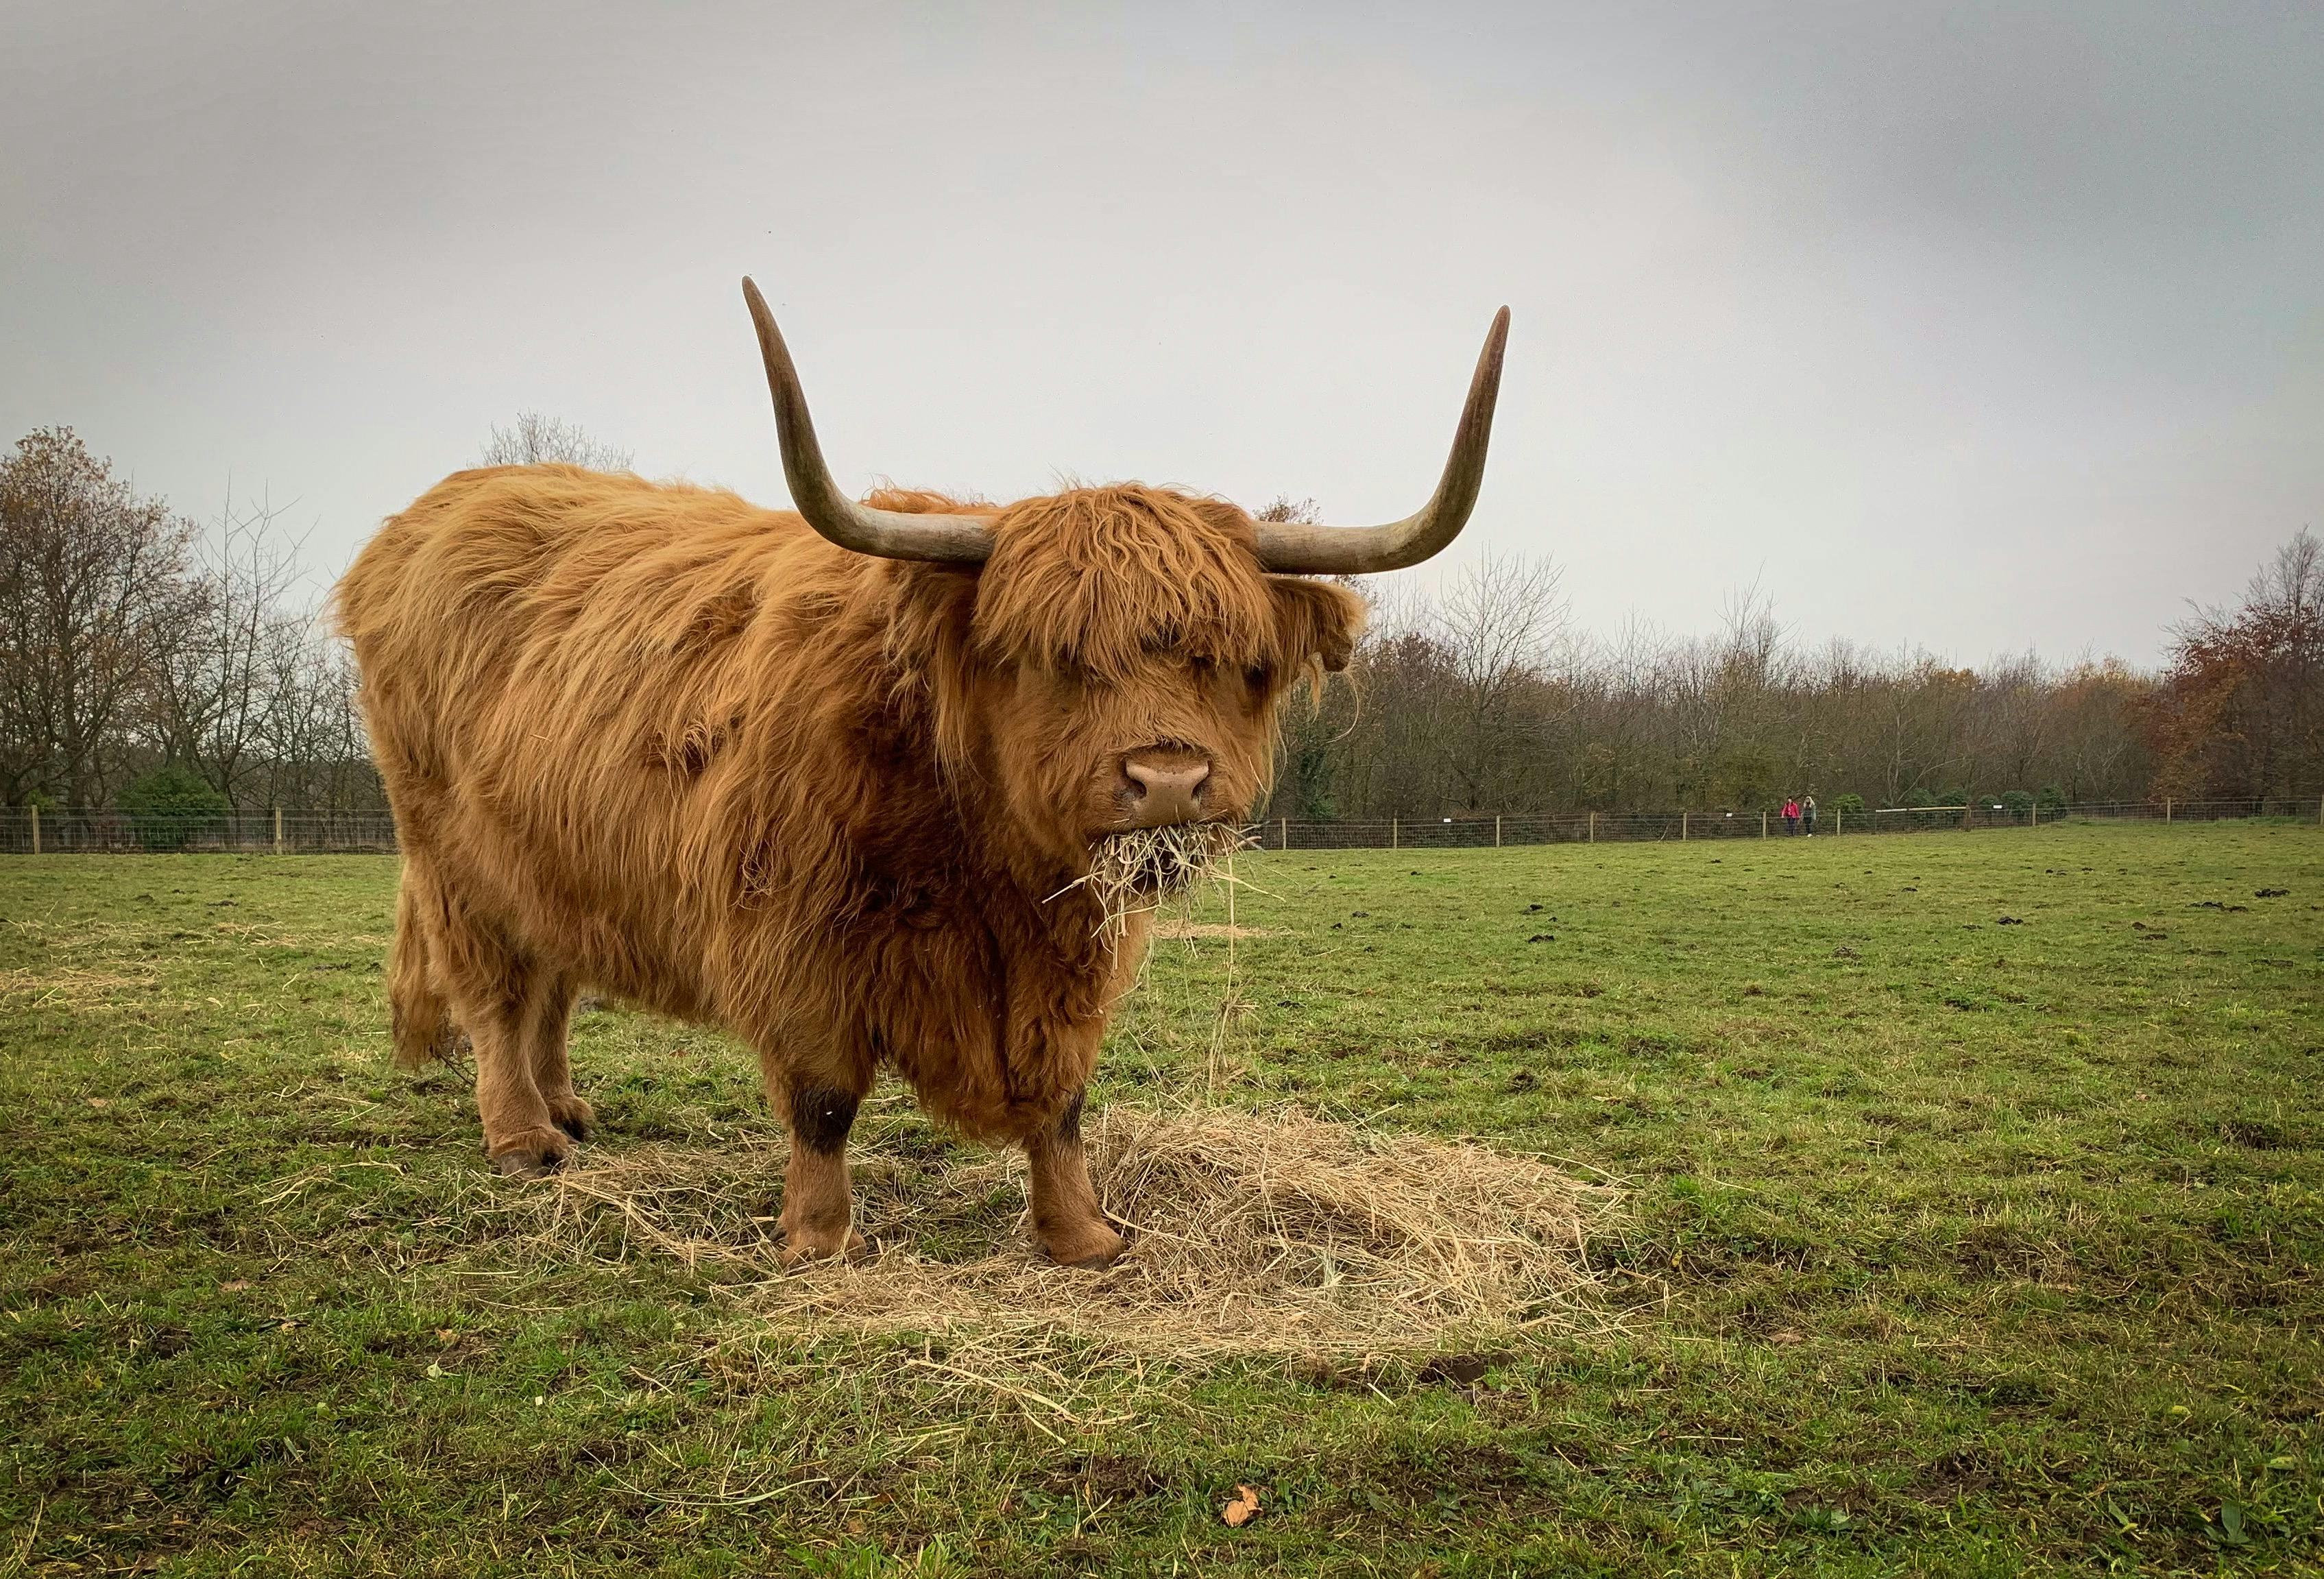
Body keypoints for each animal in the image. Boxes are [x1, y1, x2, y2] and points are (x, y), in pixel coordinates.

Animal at [335, 279, 1507, 1269]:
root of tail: (428, 518)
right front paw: (815, 1238)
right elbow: (821, 1098)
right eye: (1051, 654)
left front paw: (1082, 1235)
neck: (979, 850)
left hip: (551, 854)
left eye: (1231, 660)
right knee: (496, 990)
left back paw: (568, 1109)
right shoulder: (794, 933)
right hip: (448, 852)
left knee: (552, 979)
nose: (1168, 780)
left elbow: (1059, 1095)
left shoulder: (1065, 950)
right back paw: (522, 1136)